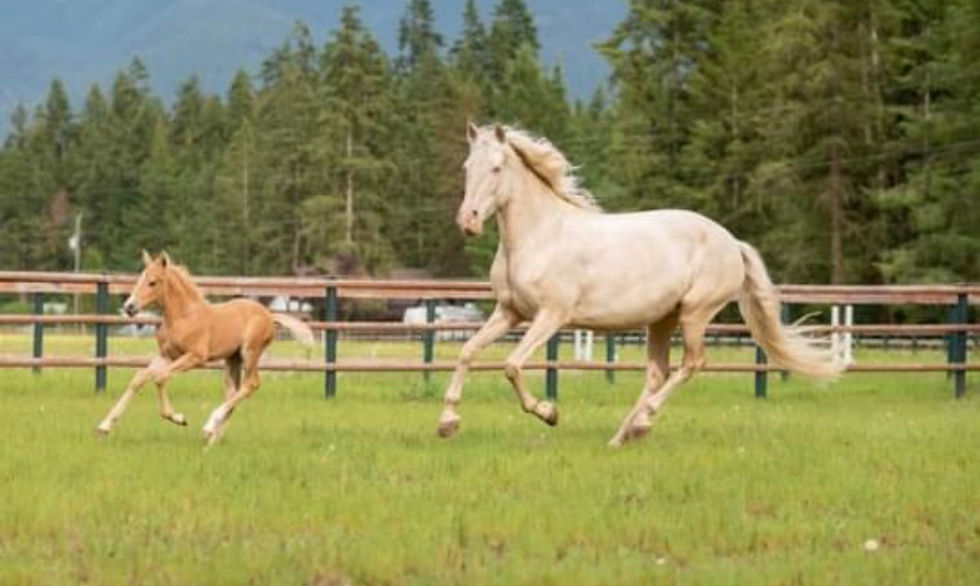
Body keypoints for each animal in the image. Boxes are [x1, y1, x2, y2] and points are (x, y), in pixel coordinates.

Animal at [96, 251, 315, 445]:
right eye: (139, 279)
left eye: (152, 282)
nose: (129, 307)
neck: (184, 317)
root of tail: (269, 315)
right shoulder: (166, 355)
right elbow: (139, 378)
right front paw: (104, 426)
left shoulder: (196, 357)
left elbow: (160, 377)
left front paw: (178, 418)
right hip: (232, 359)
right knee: (233, 391)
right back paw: (213, 438)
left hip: (250, 352)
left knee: (251, 384)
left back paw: (210, 426)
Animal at [438, 123, 843, 446]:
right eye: (467, 167)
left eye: (496, 167)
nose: (468, 221)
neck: (540, 236)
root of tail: (731, 242)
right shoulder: (510, 312)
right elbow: (468, 352)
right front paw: (447, 423)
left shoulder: (551, 315)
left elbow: (511, 365)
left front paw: (549, 412)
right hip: (663, 318)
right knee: (657, 372)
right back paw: (623, 434)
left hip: (695, 313)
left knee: (693, 363)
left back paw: (641, 422)